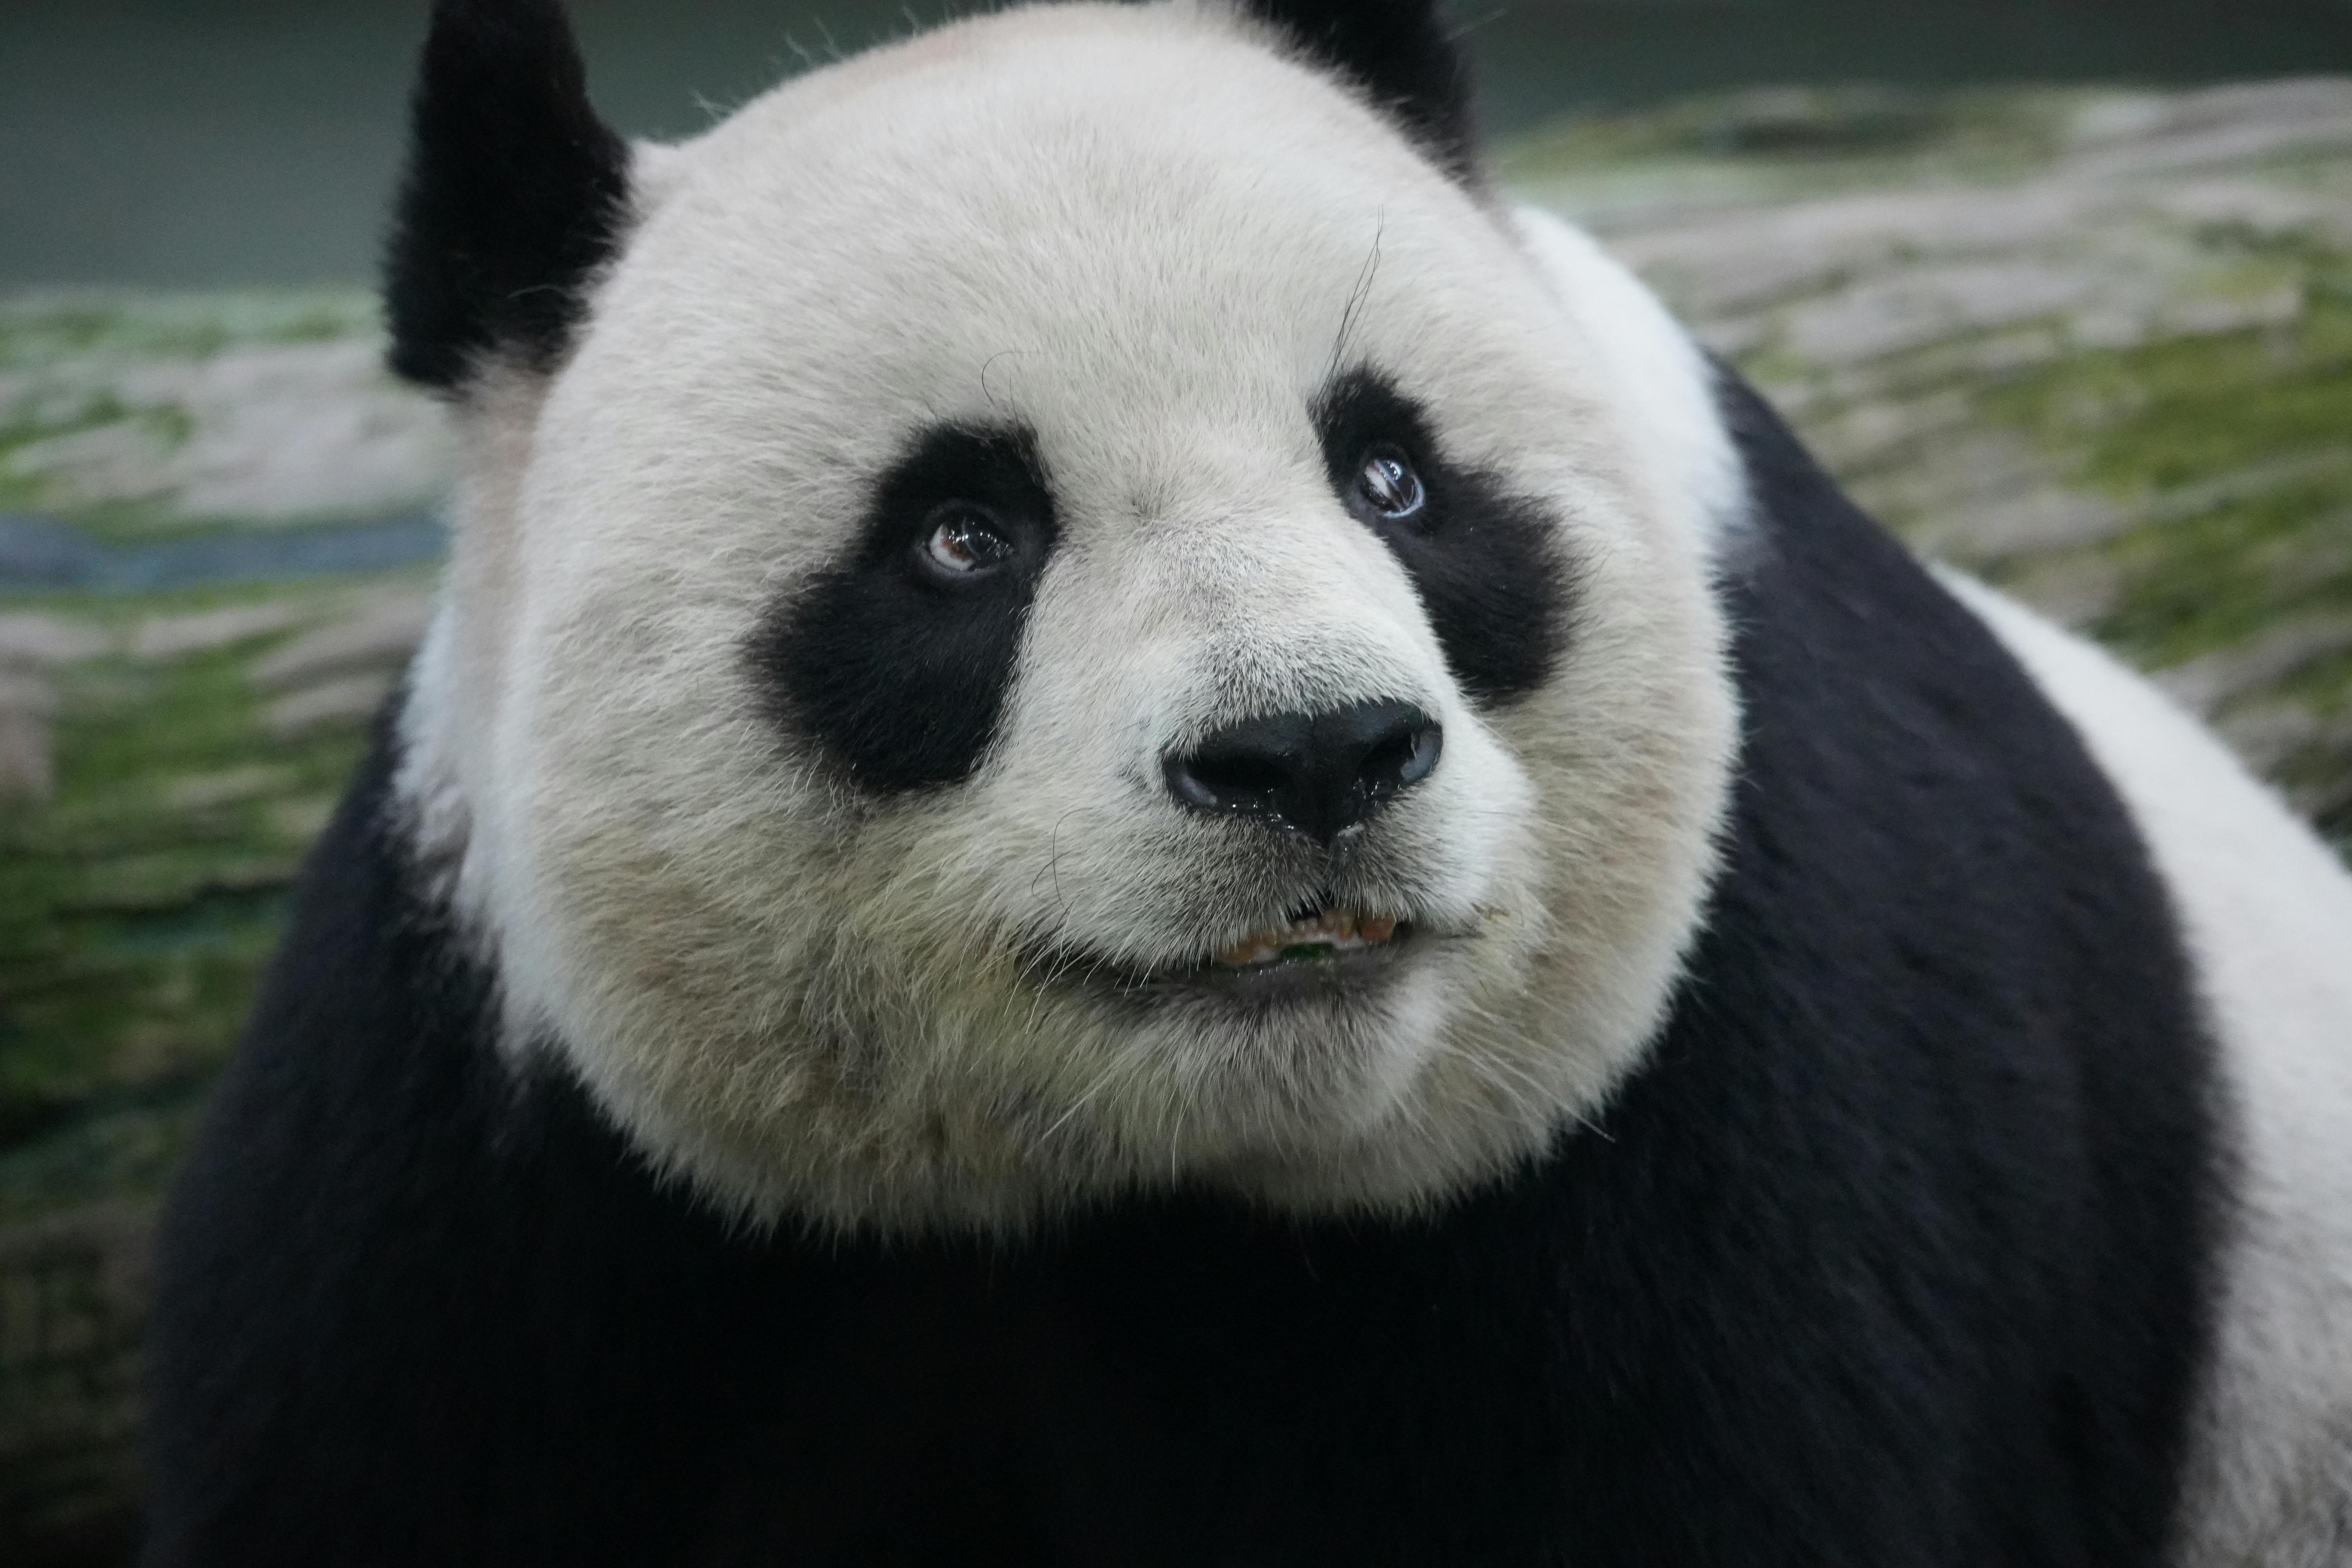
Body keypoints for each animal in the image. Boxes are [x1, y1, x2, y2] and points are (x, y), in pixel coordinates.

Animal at [141, 0, 2352, 1563]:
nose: (1313, 753)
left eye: (1393, 476)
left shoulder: (1757, 1064)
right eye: (962, 535)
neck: (1153, 1178)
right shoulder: (533, 1180)